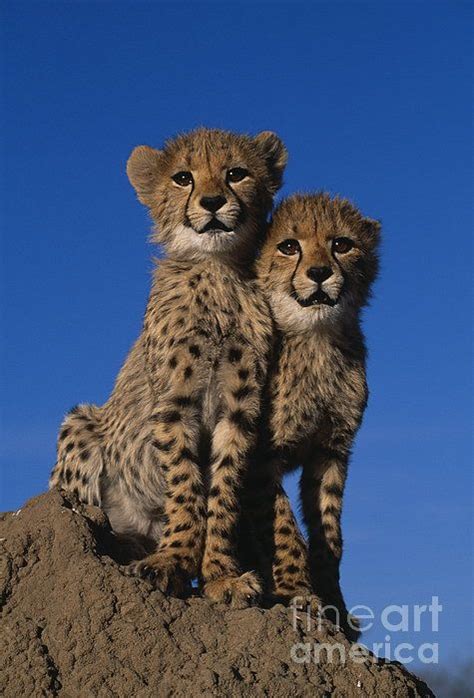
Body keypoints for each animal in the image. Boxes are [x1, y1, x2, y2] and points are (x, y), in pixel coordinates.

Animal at [49, 127, 287, 607]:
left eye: (237, 173)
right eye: (183, 178)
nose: (212, 202)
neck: (216, 272)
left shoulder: (240, 411)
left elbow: (222, 491)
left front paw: (220, 574)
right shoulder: (174, 404)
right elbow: (184, 482)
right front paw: (173, 560)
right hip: (81, 425)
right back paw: (124, 544)